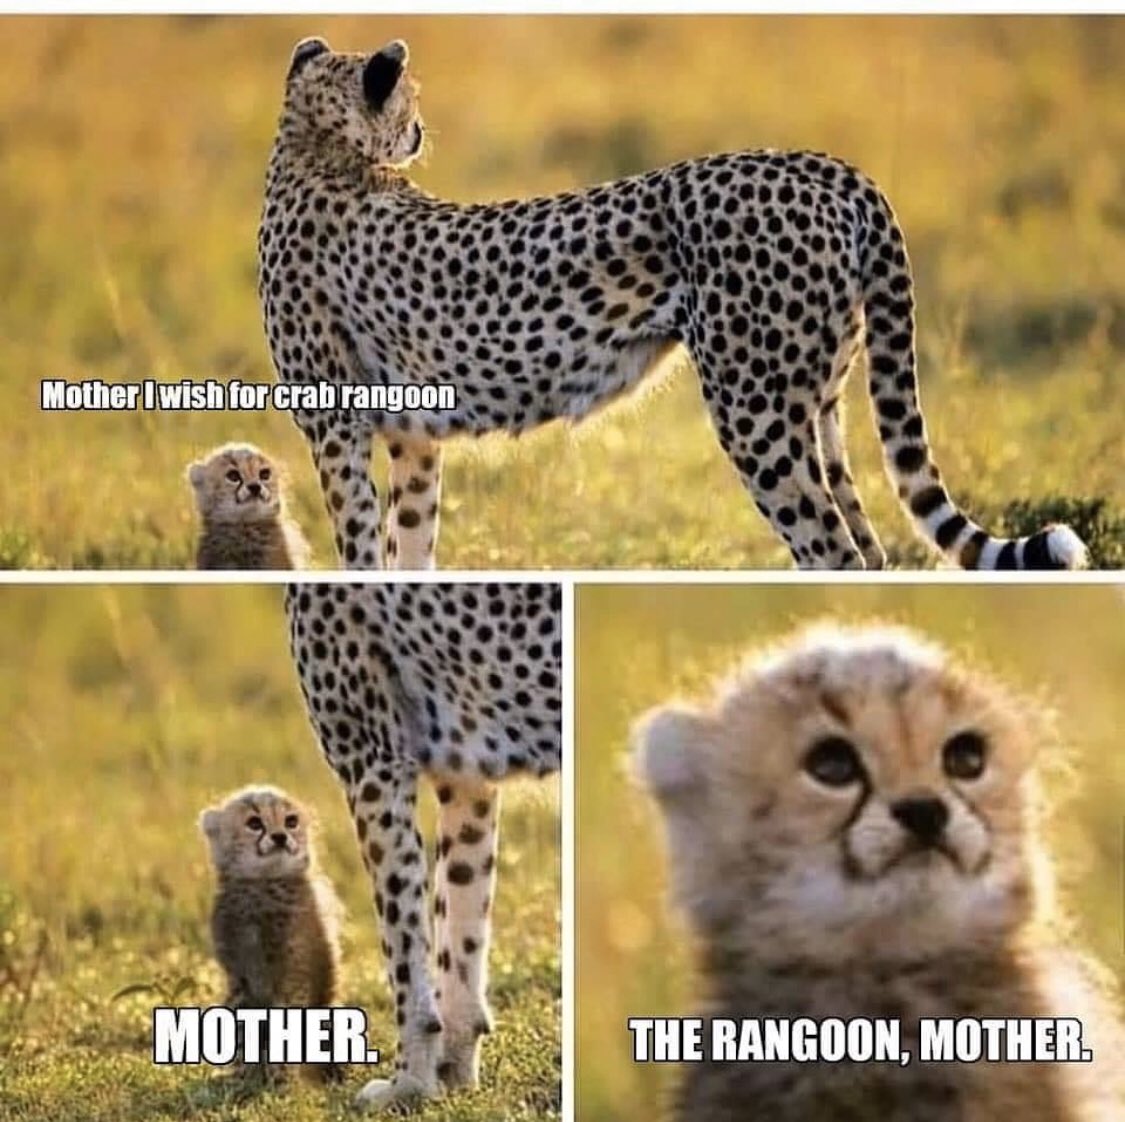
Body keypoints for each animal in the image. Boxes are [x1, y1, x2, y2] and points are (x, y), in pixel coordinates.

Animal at [257, 35, 1087, 572]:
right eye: (411, 101)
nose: (421, 129)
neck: (312, 149)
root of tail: (829, 167)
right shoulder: (410, 436)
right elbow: (406, 552)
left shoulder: (337, 428)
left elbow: (363, 553)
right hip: (820, 402)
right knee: (868, 545)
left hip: (754, 408)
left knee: (831, 548)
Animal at [285, 581, 561, 1111]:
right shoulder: (468, 775)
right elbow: (459, 930)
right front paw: (452, 1074)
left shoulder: (374, 765)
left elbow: (404, 948)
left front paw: (409, 1083)